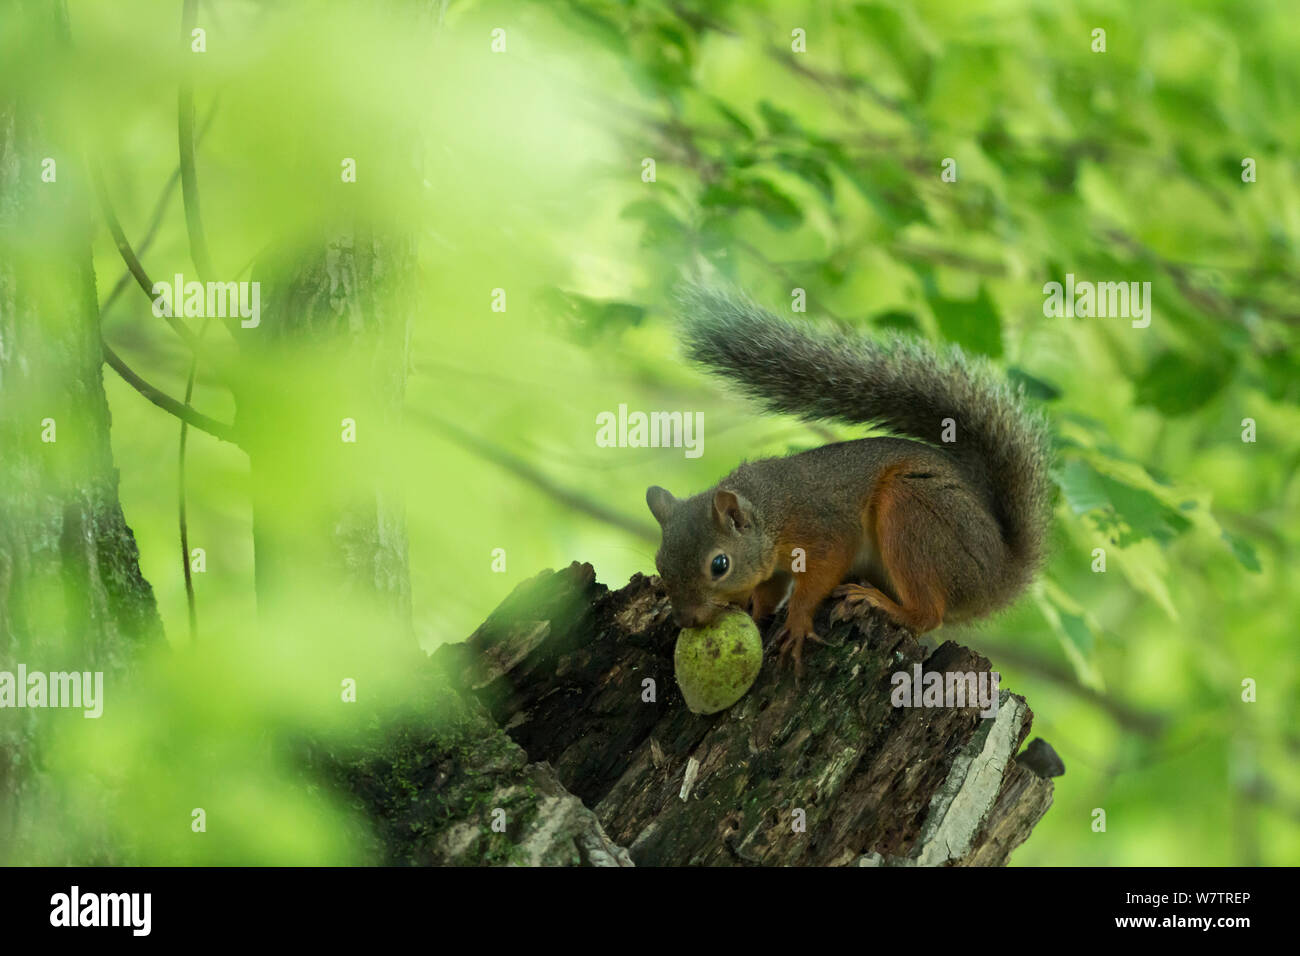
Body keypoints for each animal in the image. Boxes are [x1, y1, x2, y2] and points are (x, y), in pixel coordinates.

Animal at [646, 283, 1052, 672]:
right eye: (660, 563)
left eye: (720, 565)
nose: (686, 620)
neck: (770, 507)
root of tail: (999, 575)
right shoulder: (770, 564)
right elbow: (770, 589)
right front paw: (757, 612)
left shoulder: (824, 528)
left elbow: (823, 570)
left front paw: (797, 623)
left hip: (915, 511)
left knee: (928, 617)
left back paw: (880, 604)